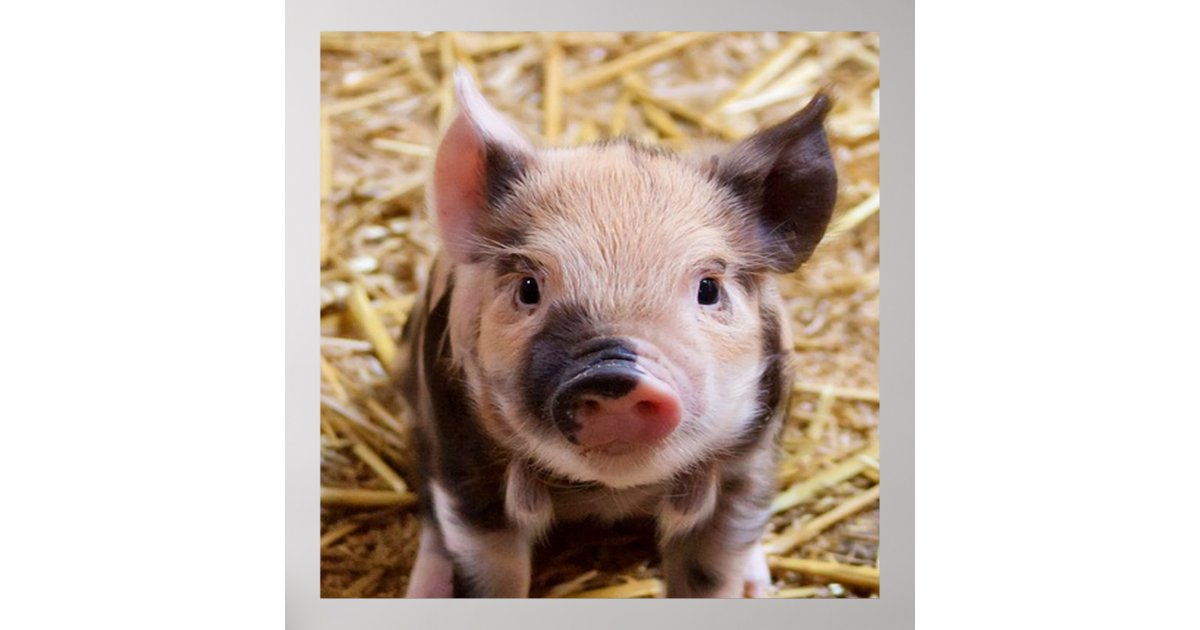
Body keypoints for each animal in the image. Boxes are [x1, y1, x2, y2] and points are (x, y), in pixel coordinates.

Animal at [398, 70, 837, 598]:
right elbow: (490, 572)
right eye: (528, 287)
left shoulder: (750, 462)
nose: (613, 373)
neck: (610, 493)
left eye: (708, 289)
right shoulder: (463, 457)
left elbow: (712, 568)